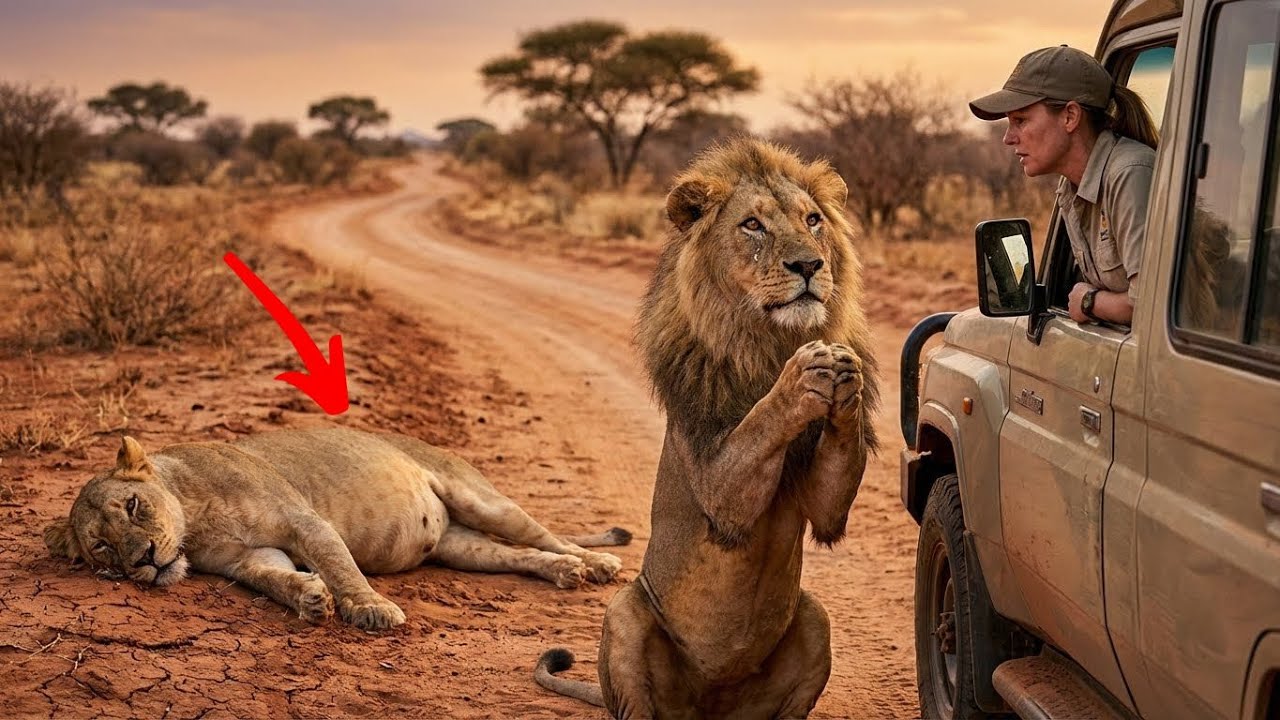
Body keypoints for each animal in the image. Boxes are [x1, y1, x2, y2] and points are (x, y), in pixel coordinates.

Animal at [43, 427, 631, 631]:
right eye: (102, 547)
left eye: (134, 505)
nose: (142, 559)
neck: (197, 520)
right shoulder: (248, 558)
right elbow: (274, 578)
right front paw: (308, 596)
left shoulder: (304, 518)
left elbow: (340, 563)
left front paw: (370, 609)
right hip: (462, 547)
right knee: (519, 556)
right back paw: (564, 573)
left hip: (480, 498)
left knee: (544, 534)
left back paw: (596, 563)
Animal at [535, 138, 879, 718]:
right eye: (752, 225)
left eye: (812, 220)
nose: (809, 264)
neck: (768, 342)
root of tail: (709, 709)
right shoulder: (719, 485)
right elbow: (760, 422)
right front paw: (801, 373)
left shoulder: (826, 500)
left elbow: (830, 502)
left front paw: (842, 367)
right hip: (624, 611)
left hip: (814, 617)